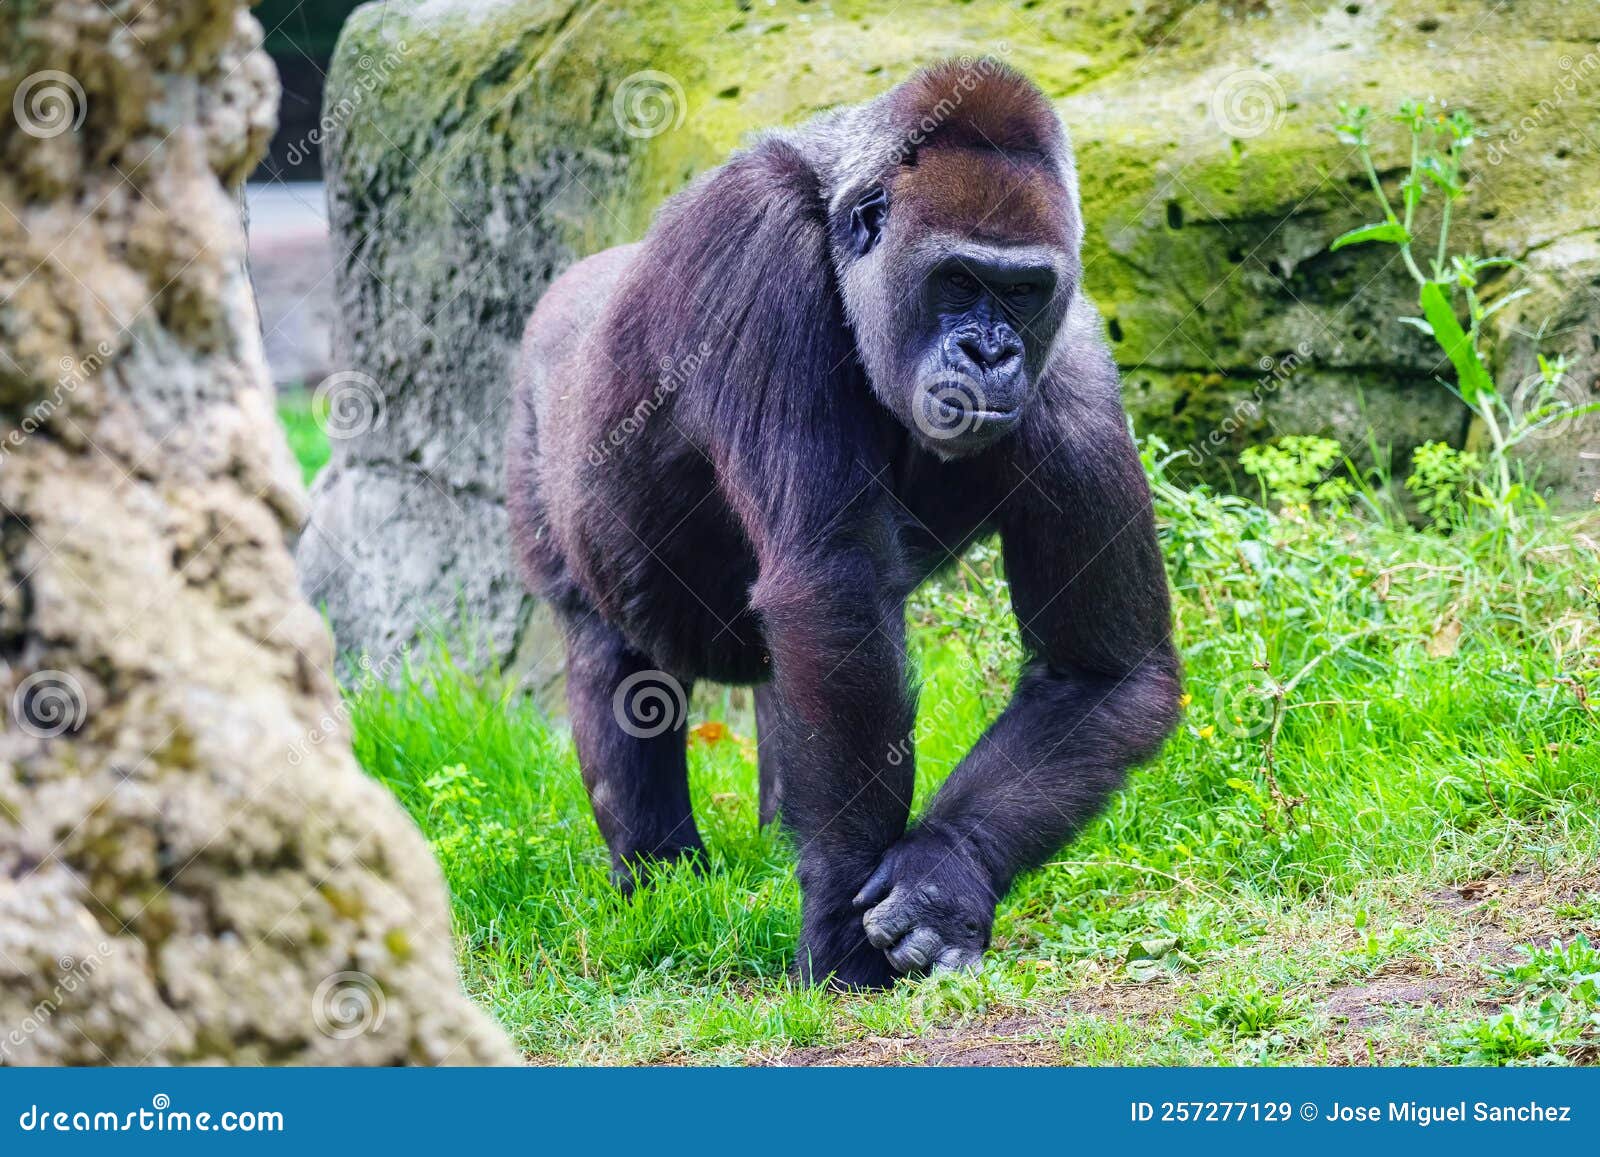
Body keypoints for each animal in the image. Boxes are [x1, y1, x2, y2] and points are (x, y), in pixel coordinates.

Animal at [506, 59, 1181, 989]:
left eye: (1020, 291)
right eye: (958, 281)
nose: (990, 353)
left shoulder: (1071, 351)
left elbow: (1099, 672)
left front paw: (943, 873)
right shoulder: (761, 243)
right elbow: (831, 582)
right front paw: (839, 933)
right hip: (541, 437)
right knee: (616, 658)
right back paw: (659, 878)